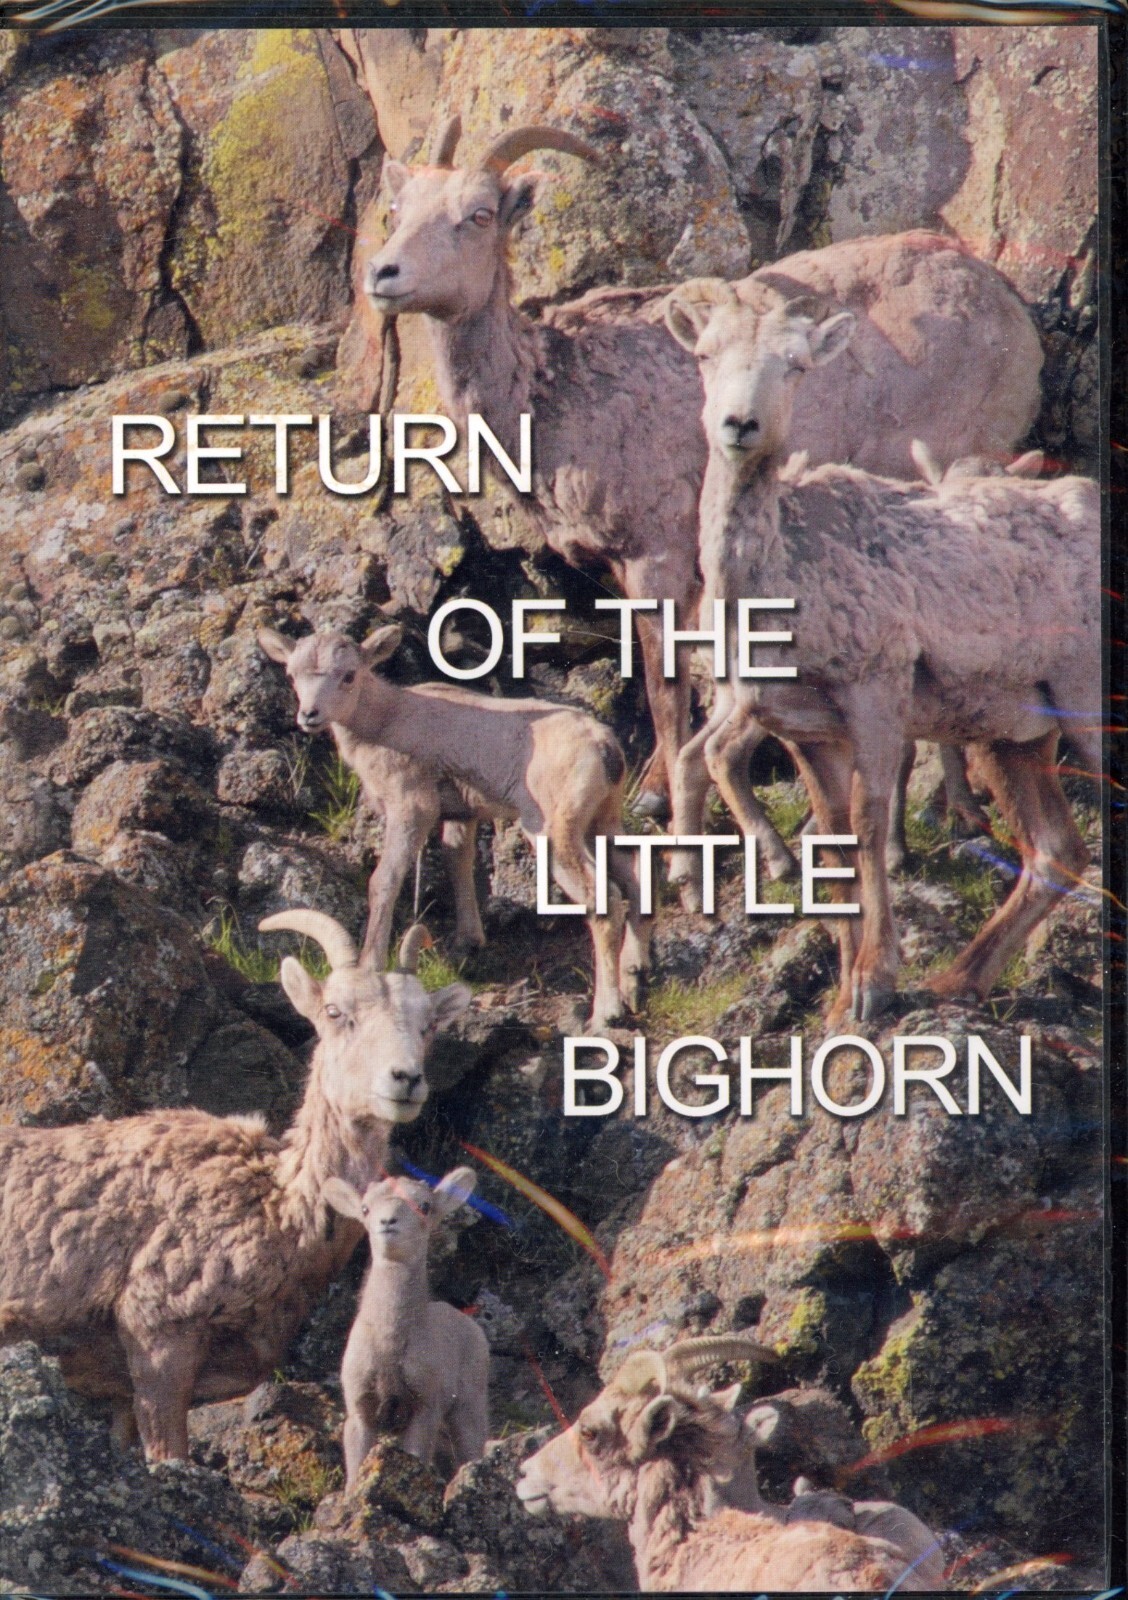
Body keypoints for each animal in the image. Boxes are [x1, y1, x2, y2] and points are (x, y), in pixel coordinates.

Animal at [259, 625, 649, 1031]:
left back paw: (606, 1013)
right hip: (602, 821)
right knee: (636, 875)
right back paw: (635, 979)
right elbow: (457, 862)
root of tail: (604, 748)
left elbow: (384, 881)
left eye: (349, 675)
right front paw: (467, 944)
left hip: (554, 832)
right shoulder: (461, 814)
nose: (310, 715)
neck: (383, 720)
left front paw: (371, 964)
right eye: (292, 675)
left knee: (603, 899)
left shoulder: (412, 807)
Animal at [322, 1165, 489, 1487]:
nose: (388, 1222)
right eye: (365, 1208)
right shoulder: (360, 1411)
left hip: (469, 1409)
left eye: (424, 1205)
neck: (390, 1345)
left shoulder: (423, 1409)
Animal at [363, 115, 1043, 822]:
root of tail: (1006, 303)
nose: (383, 273)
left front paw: (656, 801)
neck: (557, 393)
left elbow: (665, 687)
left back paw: (958, 806)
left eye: (478, 214)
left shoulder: (656, 557)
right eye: (398, 208)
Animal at [663, 283, 1099, 1021]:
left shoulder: (876, 691)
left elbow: (867, 826)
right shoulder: (806, 729)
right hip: (1013, 733)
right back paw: (960, 979)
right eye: (703, 354)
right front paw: (842, 992)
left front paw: (874, 981)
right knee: (1055, 850)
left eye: (796, 365)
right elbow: (831, 836)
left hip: (1088, 704)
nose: (740, 424)